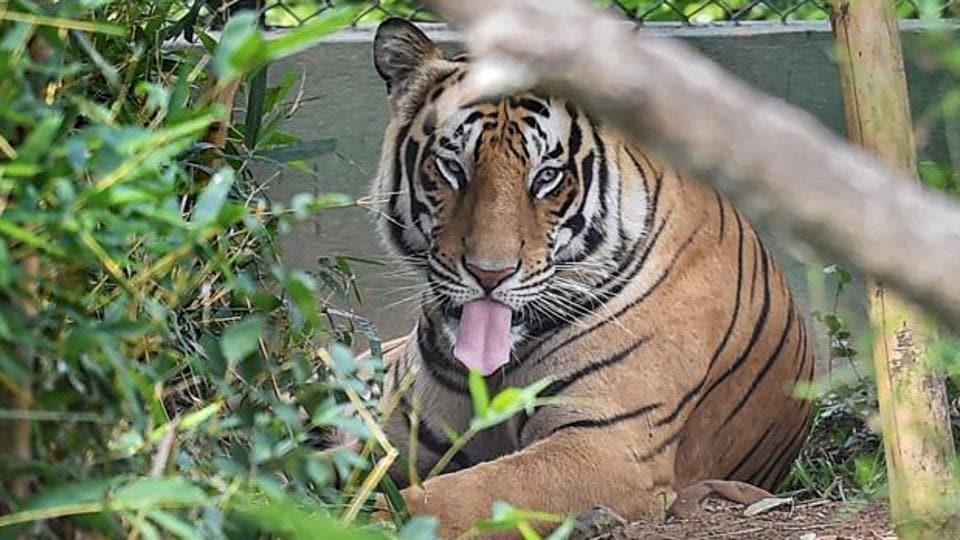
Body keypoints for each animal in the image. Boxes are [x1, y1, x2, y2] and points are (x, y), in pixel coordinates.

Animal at [366, 18, 815, 537]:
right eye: (451, 166)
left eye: (546, 177)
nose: (488, 274)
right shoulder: (404, 429)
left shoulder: (606, 445)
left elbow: (454, 497)